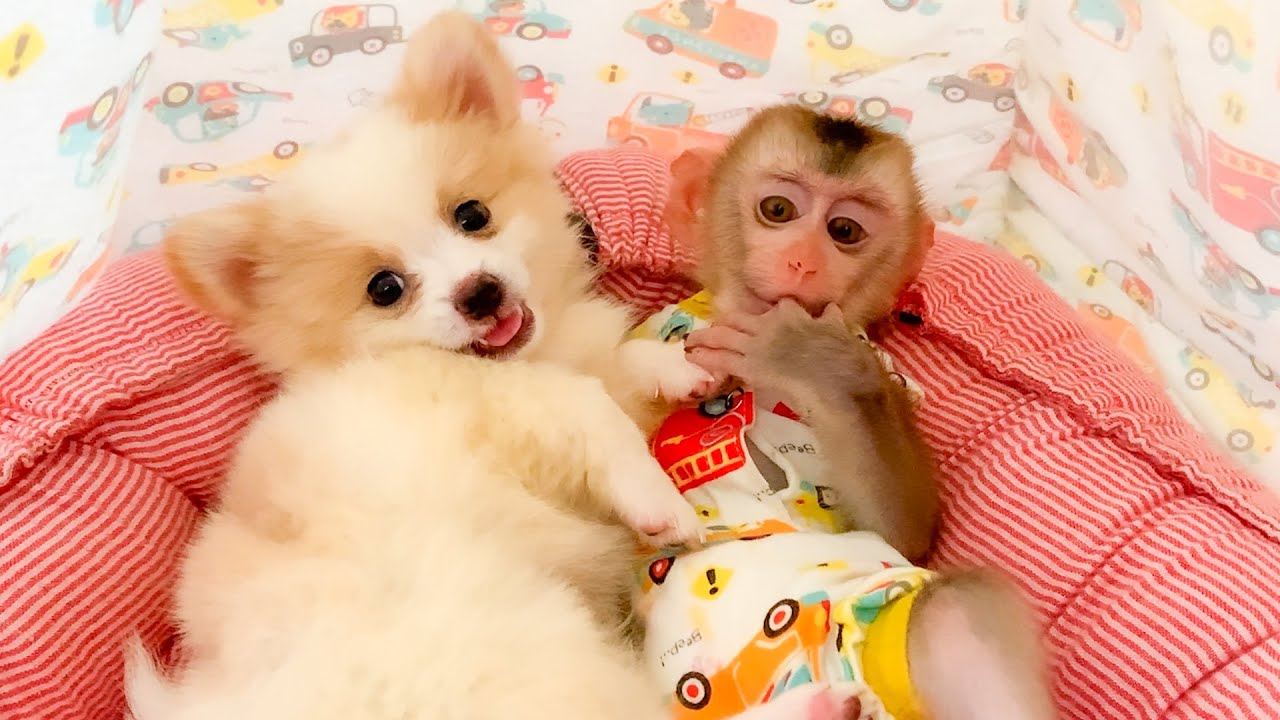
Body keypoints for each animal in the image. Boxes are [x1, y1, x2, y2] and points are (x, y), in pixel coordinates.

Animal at [623, 105, 1057, 720]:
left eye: (844, 231)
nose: (803, 261)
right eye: (777, 210)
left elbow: (900, 529)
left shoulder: (882, 369)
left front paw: (813, 362)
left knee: (954, 612)